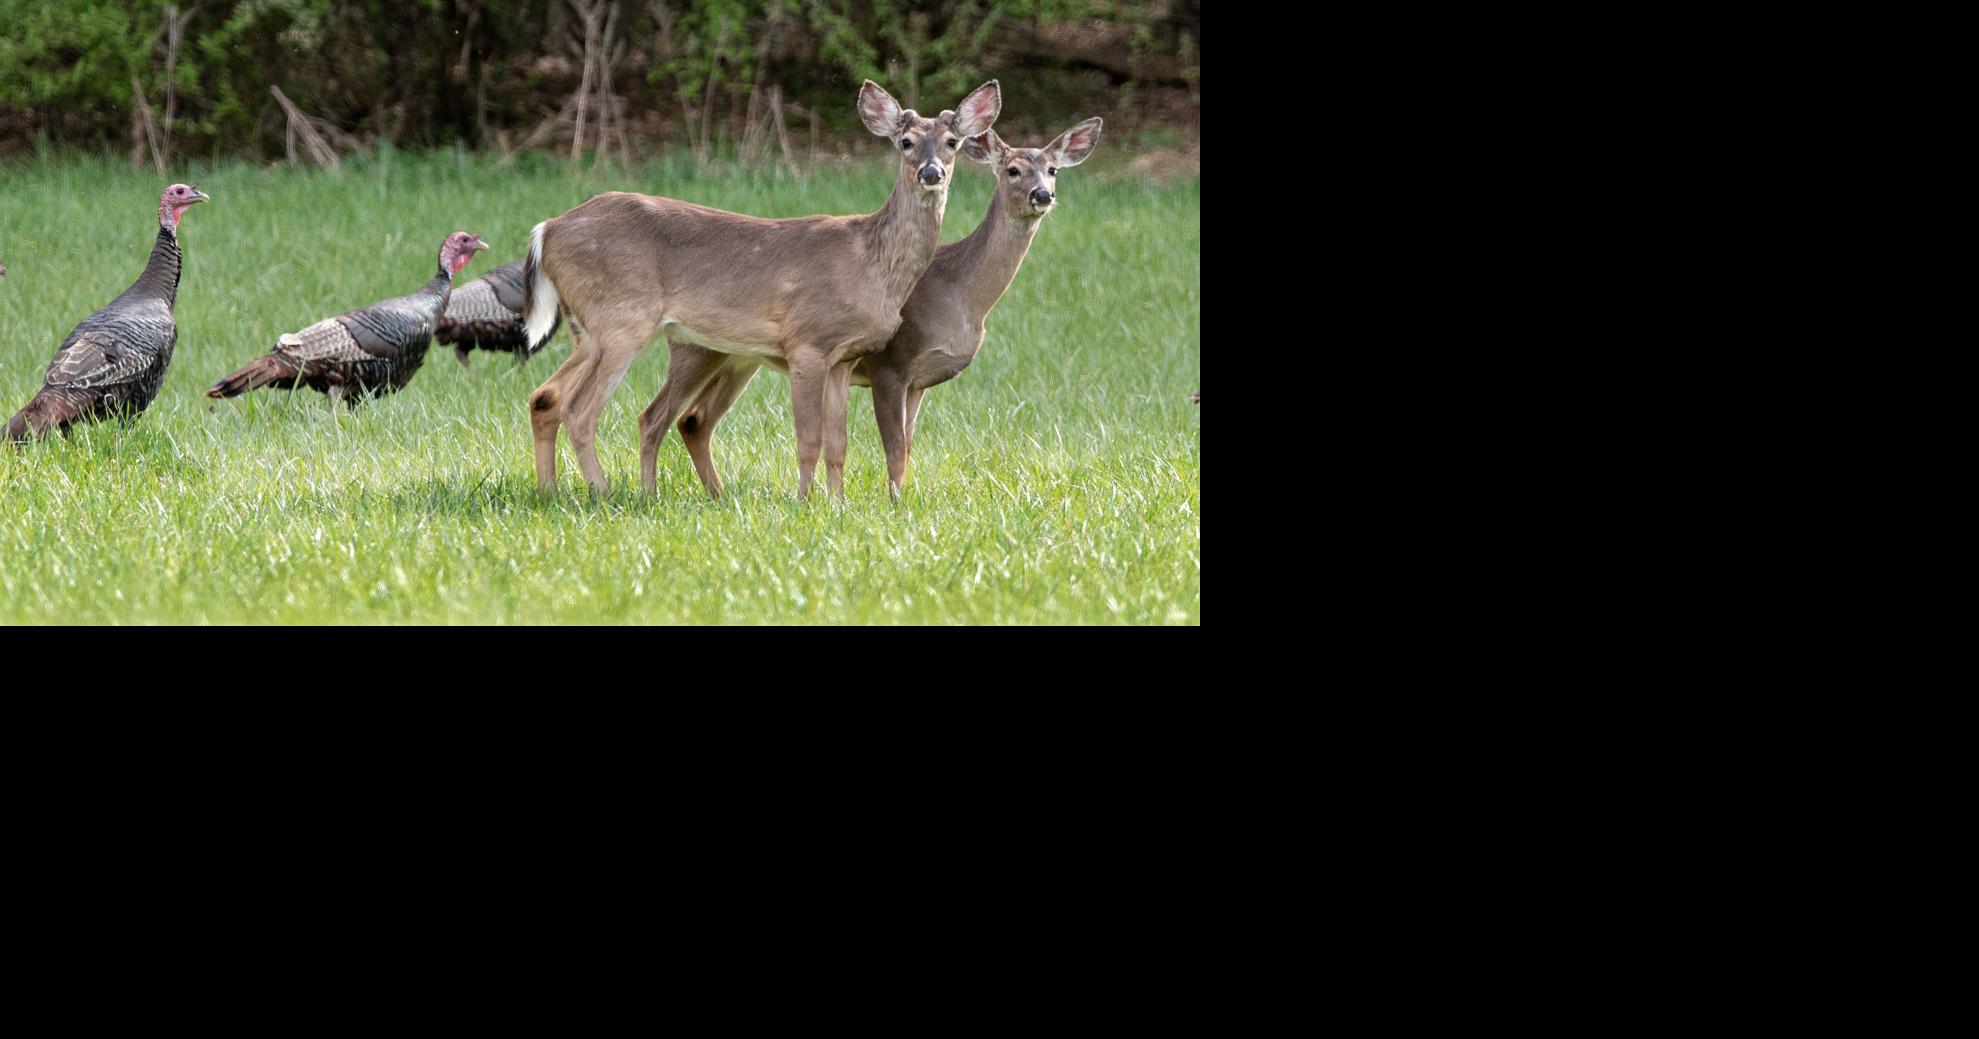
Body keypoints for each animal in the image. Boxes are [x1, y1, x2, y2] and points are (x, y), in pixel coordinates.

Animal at [519, 79, 1002, 499]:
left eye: (952, 142)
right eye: (905, 142)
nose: (931, 172)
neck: (872, 262)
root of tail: (547, 230)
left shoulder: (844, 357)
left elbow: (838, 443)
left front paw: (838, 503)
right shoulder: (807, 341)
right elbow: (809, 438)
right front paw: (806, 502)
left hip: (587, 330)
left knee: (547, 397)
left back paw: (552, 491)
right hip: (622, 320)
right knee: (581, 411)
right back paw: (602, 493)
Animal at [650, 118, 1103, 499]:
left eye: (1053, 169)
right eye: (1012, 170)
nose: (1043, 195)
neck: (961, 296)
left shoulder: (920, 381)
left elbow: (908, 445)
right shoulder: (892, 362)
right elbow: (894, 447)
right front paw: (894, 503)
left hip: (740, 359)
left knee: (694, 420)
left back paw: (719, 495)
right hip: (698, 349)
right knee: (674, 415)